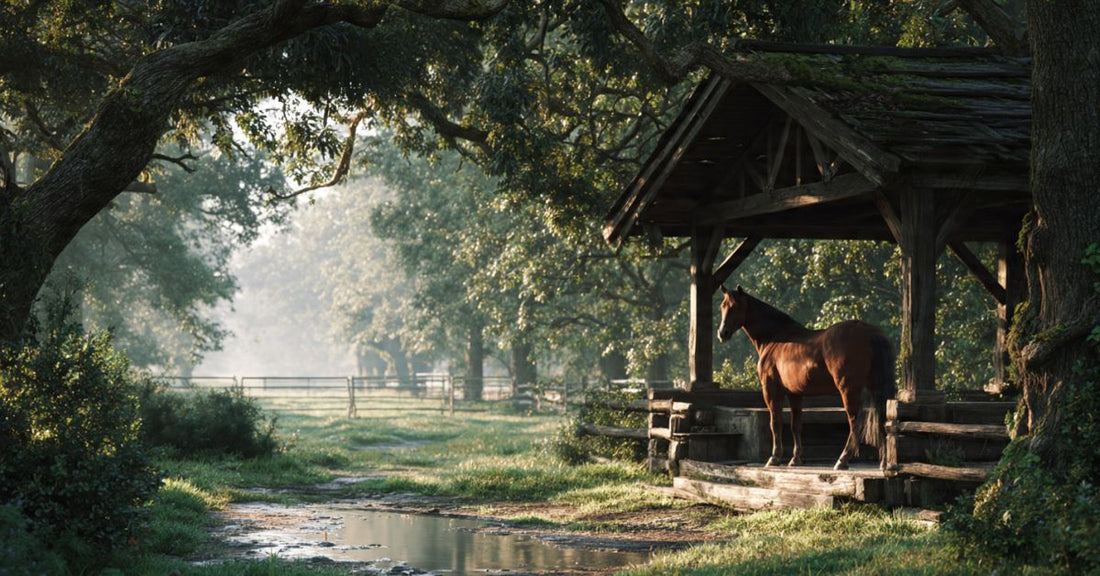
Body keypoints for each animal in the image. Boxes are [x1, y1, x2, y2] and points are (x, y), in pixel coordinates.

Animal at [717, 285, 895, 471]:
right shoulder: (795, 393)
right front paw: (795, 459)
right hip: (875, 388)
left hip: (848, 389)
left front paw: (774, 458)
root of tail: (870, 332)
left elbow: (775, 423)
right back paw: (884, 462)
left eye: (735, 306)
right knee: (883, 416)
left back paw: (842, 460)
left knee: (854, 422)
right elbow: (796, 425)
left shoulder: (771, 390)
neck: (775, 338)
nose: (722, 333)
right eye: (722, 306)